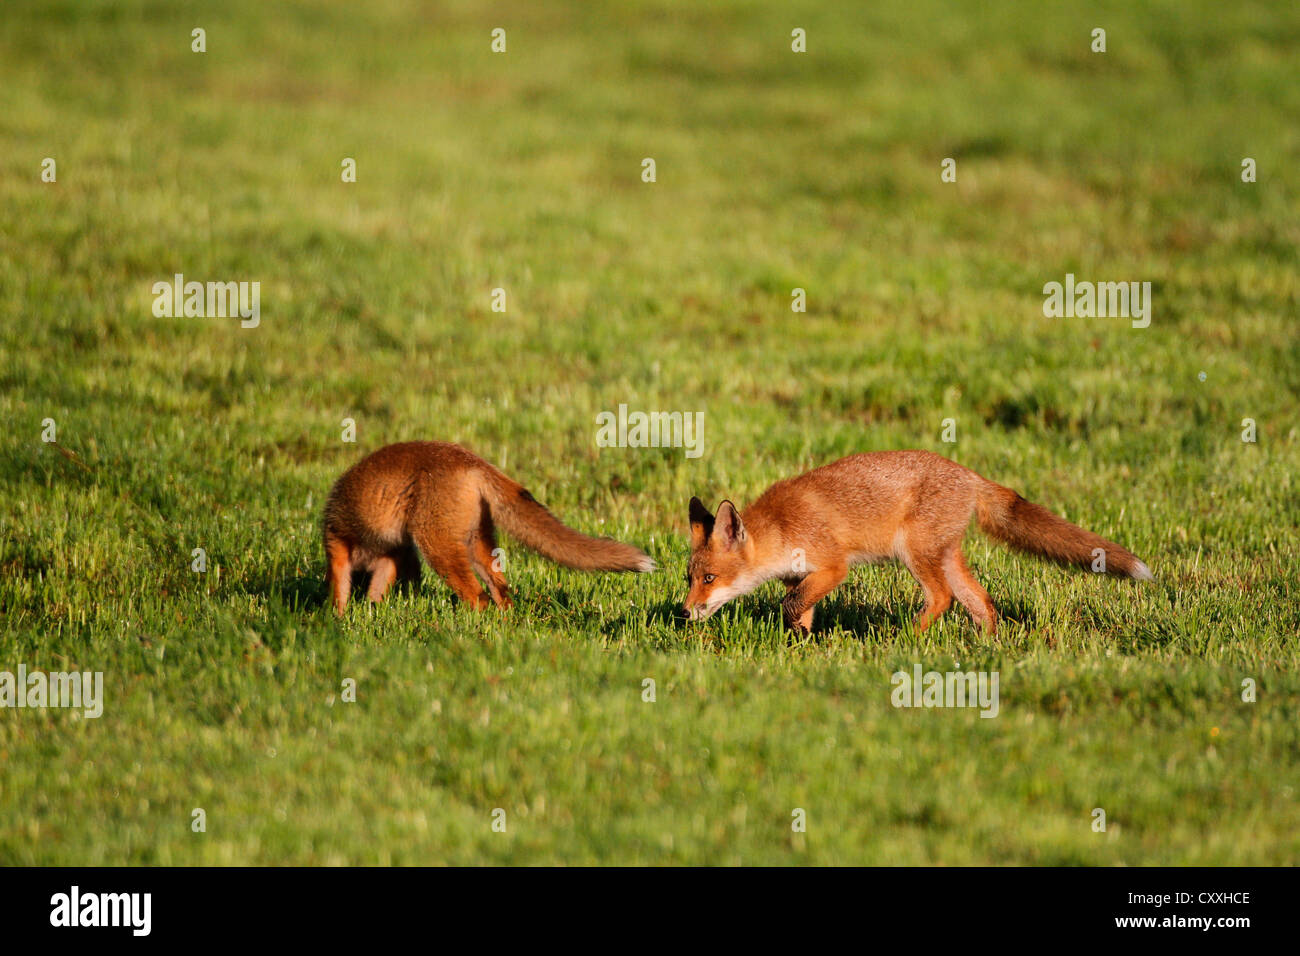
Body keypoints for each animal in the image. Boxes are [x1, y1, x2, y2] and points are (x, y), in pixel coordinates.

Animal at [323, 441, 654, 616]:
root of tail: (473, 461)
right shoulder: (392, 553)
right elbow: (374, 593)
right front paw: (369, 615)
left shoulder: (338, 540)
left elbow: (339, 588)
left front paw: (337, 620)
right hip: (478, 545)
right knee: (502, 593)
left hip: (439, 548)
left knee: (478, 598)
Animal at [683, 450, 1152, 635]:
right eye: (689, 578)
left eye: (710, 579)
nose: (683, 612)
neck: (782, 528)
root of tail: (970, 475)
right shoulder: (800, 576)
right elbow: (799, 611)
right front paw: (800, 645)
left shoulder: (833, 566)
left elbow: (790, 605)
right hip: (944, 556)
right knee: (982, 603)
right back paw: (987, 647)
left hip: (915, 553)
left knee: (942, 598)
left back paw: (904, 638)